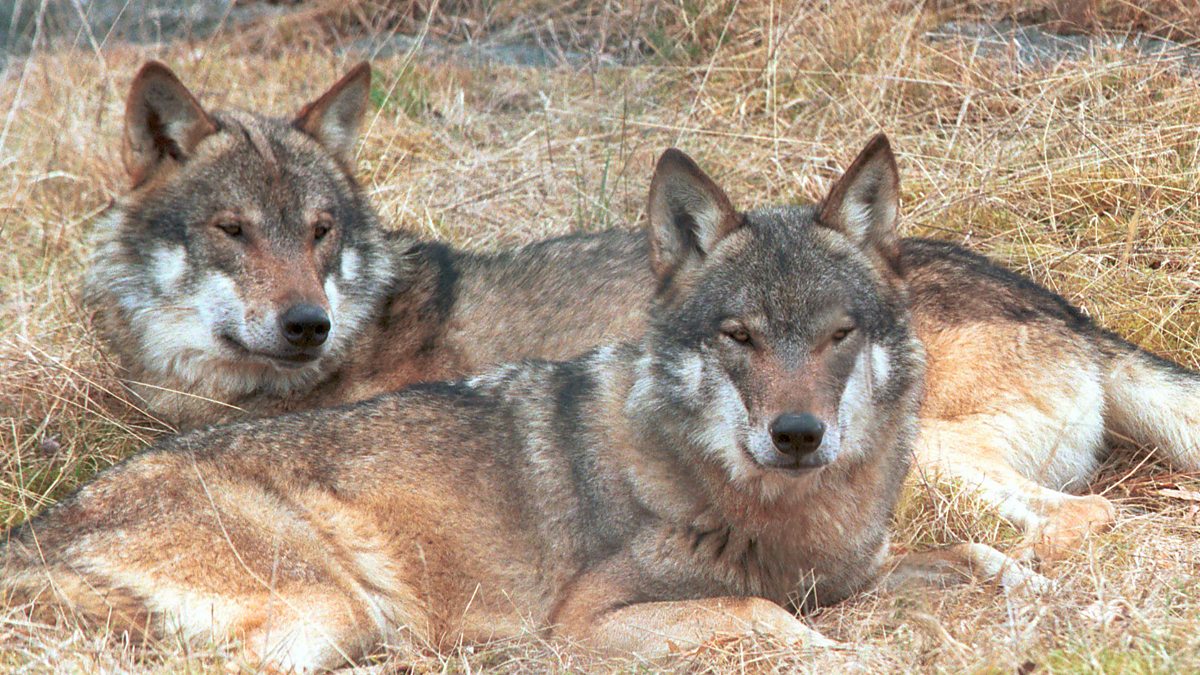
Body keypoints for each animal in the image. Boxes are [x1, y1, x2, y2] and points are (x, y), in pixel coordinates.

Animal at [6, 139, 1038, 670]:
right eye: (739, 336)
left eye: (836, 335)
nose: (796, 434)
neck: (773, 510)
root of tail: (31, 536)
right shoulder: (589, 623)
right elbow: (770, 617)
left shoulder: (855, 572)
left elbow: (976, 556)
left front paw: (1037, 586)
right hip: (320, 612)